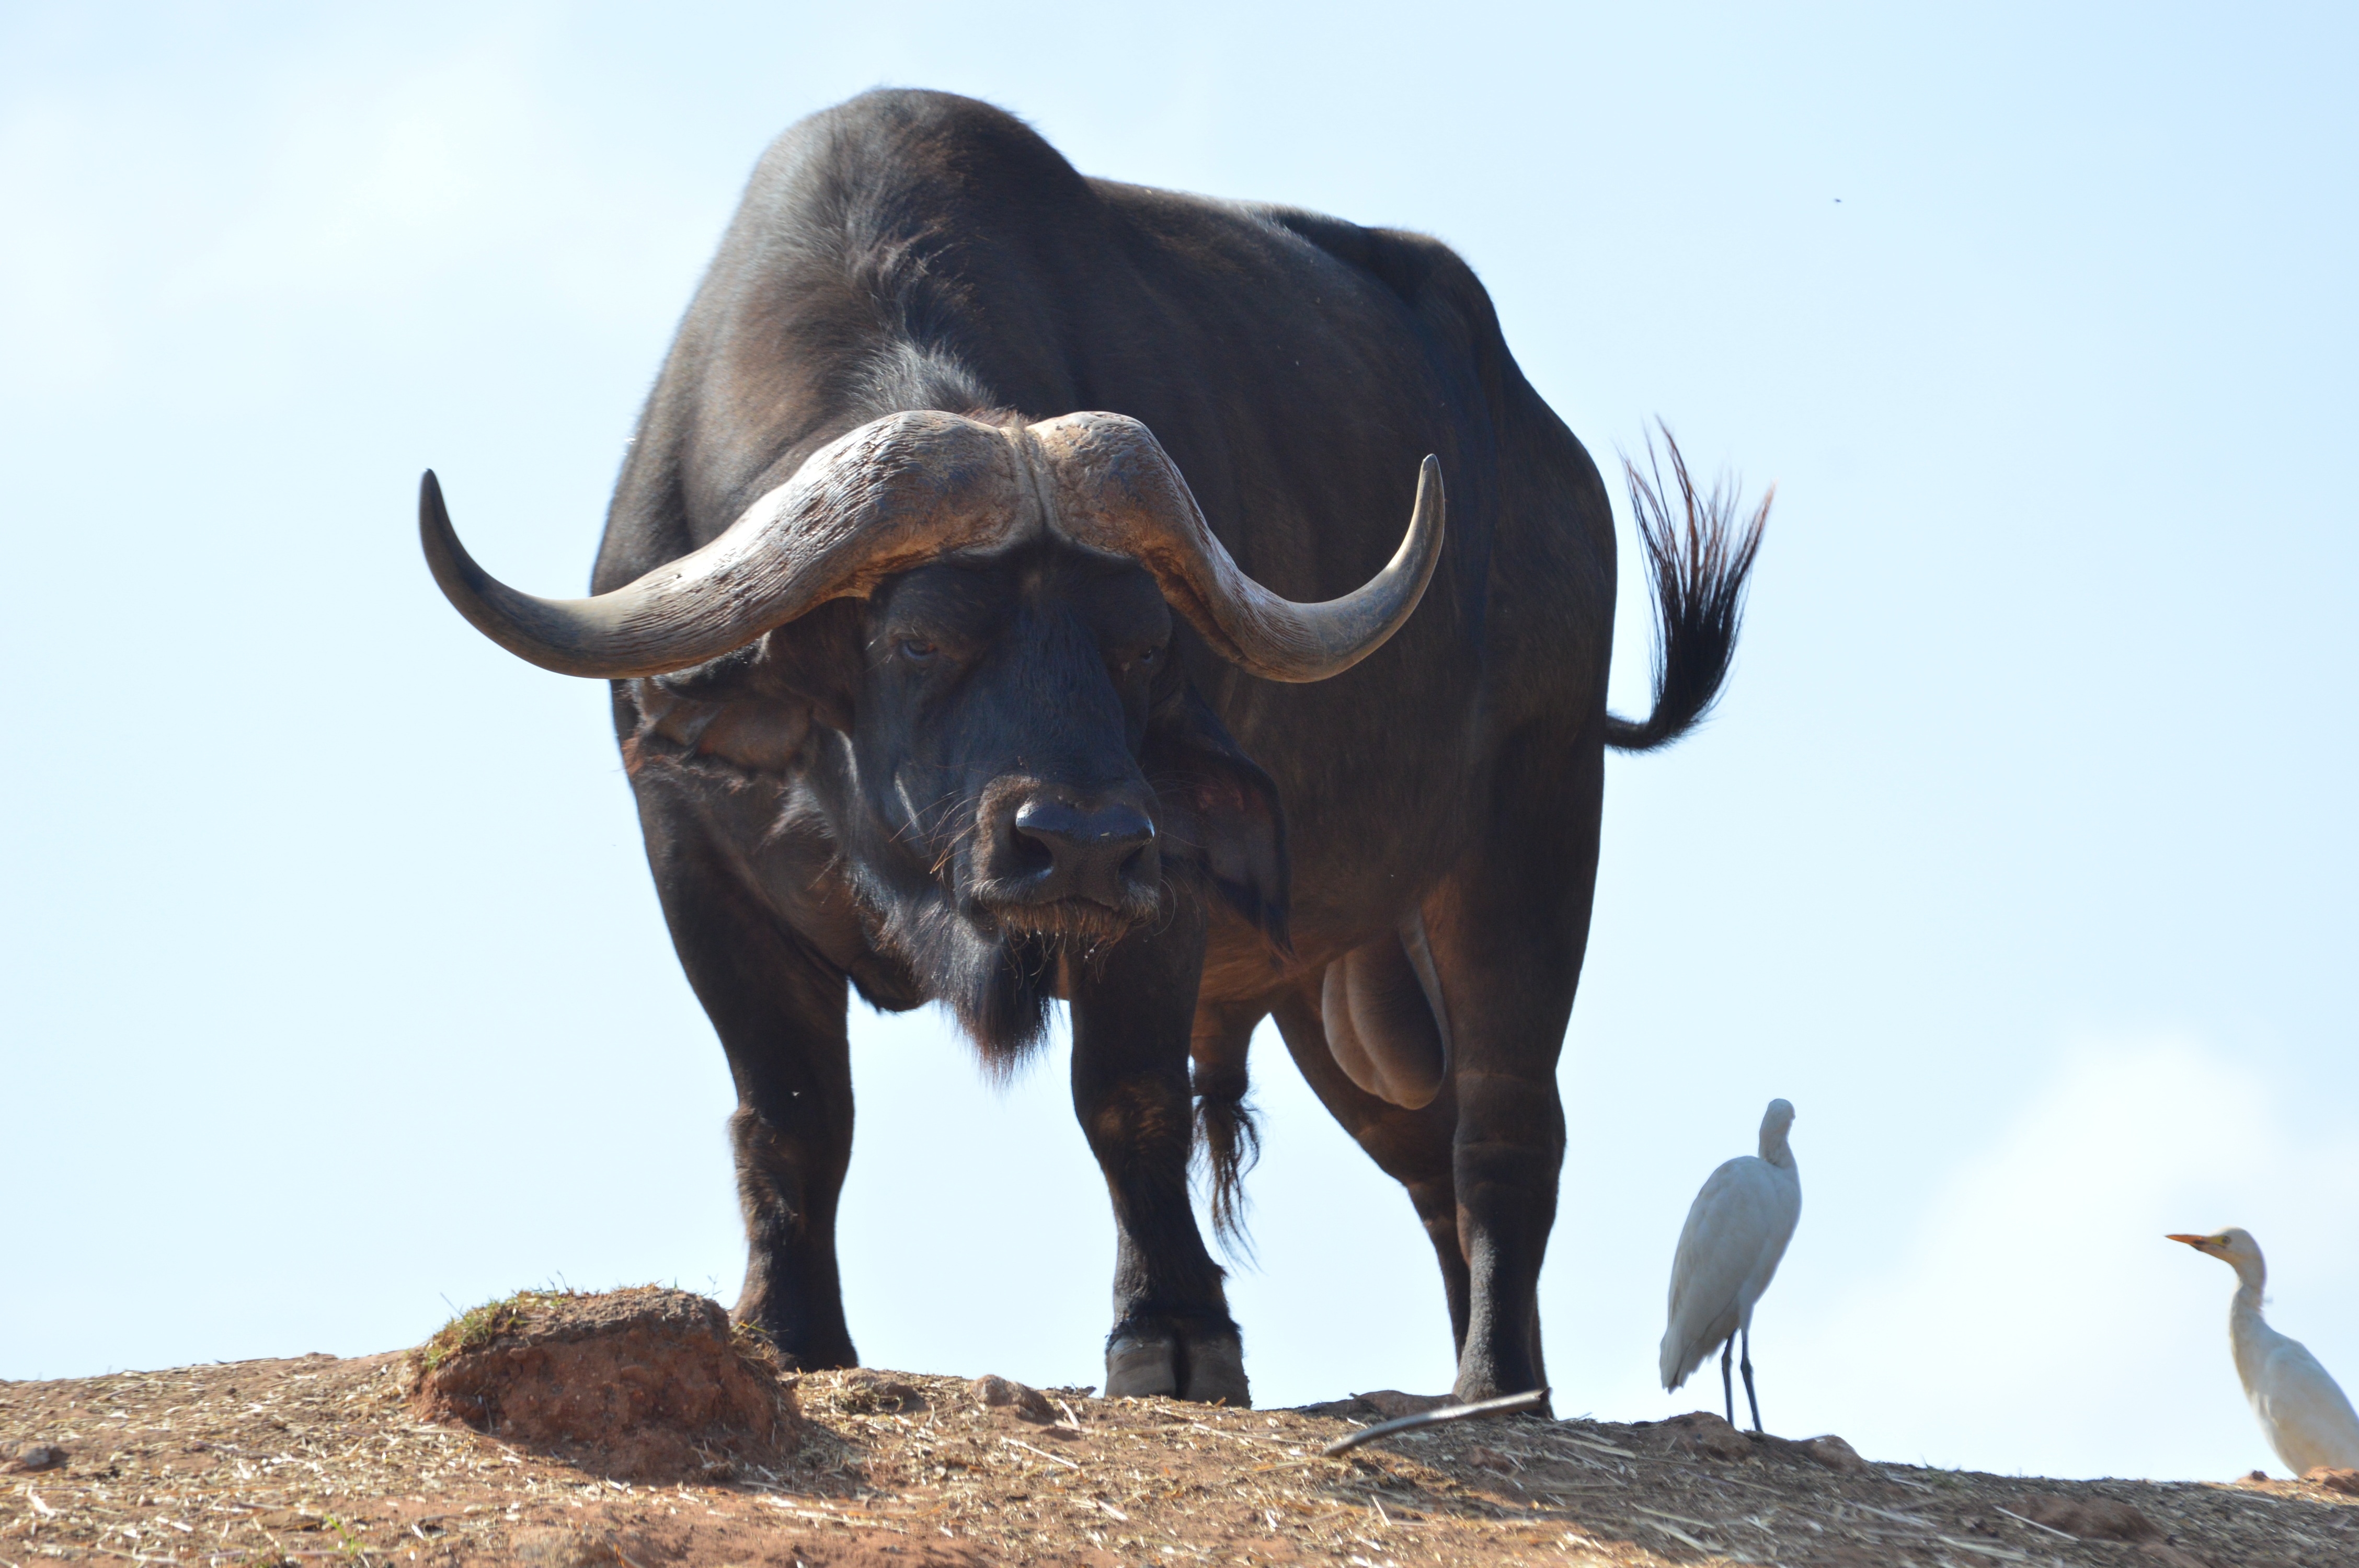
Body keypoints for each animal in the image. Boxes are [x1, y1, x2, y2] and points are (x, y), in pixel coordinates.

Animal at [422, 88, 1765, 1408]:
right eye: (920, 637)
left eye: (1141, 645)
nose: (1074, 844)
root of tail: (1551, 463)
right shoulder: (695, 858)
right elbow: (793, 1110)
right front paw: (792, 1330)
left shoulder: (1161, 887)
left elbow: (1126, 1096)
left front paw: (1171, 1334)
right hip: (1346, 992)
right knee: (1427, 1159)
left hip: (1534, 820)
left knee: (1504, 1125)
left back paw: (1494, 1383)